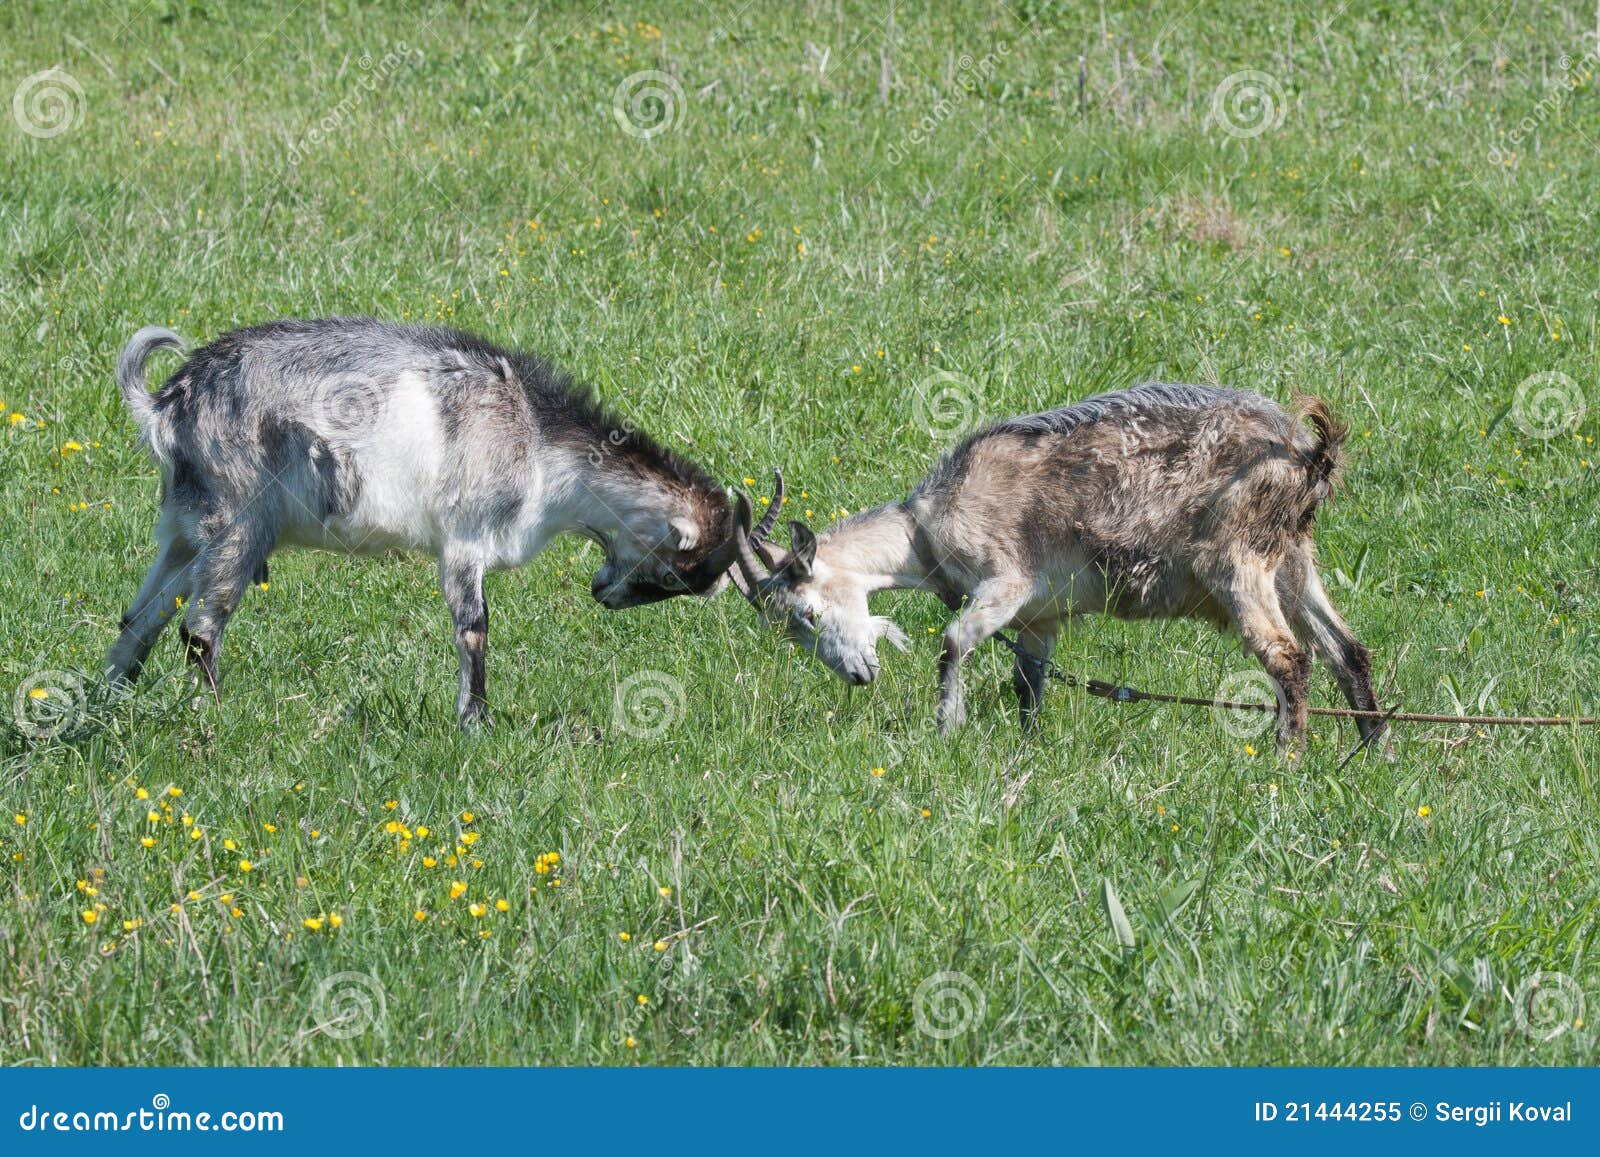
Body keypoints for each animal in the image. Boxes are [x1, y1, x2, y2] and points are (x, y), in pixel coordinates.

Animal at [106, 317, 771, 729]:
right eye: (676, 573)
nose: (603, 594)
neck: (537, 438)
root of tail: (166, 405)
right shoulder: (466, 540)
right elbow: (473, 625)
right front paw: (475, 721)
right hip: (237, 522)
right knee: (200, 626)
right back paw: (215, 718)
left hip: (182, 527)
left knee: (140, 619)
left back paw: (103, 707)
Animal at [726, 383, 1385, 750]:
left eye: (808, 613)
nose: (858, 675)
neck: (926, 525)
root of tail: (1307, 456)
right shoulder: (1039, 619)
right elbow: (1029, 684)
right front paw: (1029, 749)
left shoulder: (1008, 580)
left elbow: (953, 640)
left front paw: (946, 731)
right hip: (1293, 562)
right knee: (1345, 650)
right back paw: (1375, 752)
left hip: (1239, 562)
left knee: (1287, 658)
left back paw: (1284, 762)